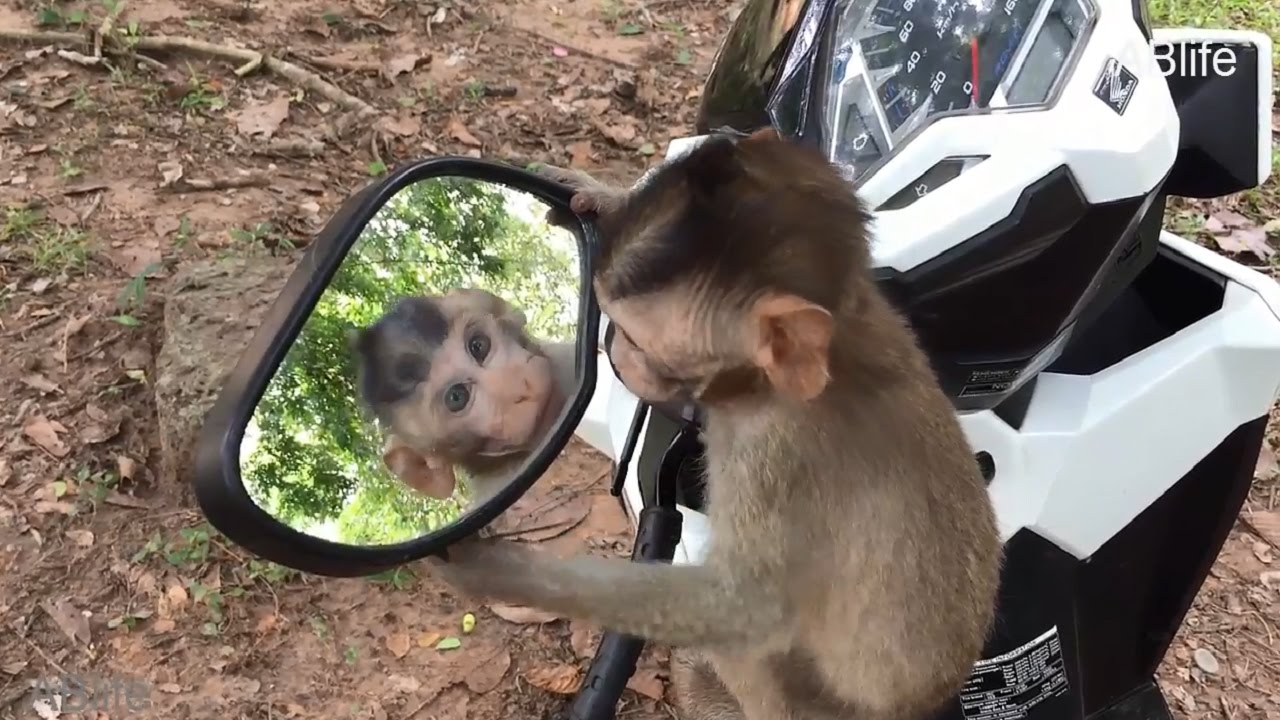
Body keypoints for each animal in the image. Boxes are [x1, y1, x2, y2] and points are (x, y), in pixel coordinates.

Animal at [429, 128, 1004, 720]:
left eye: (636, 341)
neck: (763, 387)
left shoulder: (776, 458)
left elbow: (744, 612)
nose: (609, 346)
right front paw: (601, 196)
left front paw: (496, 569)